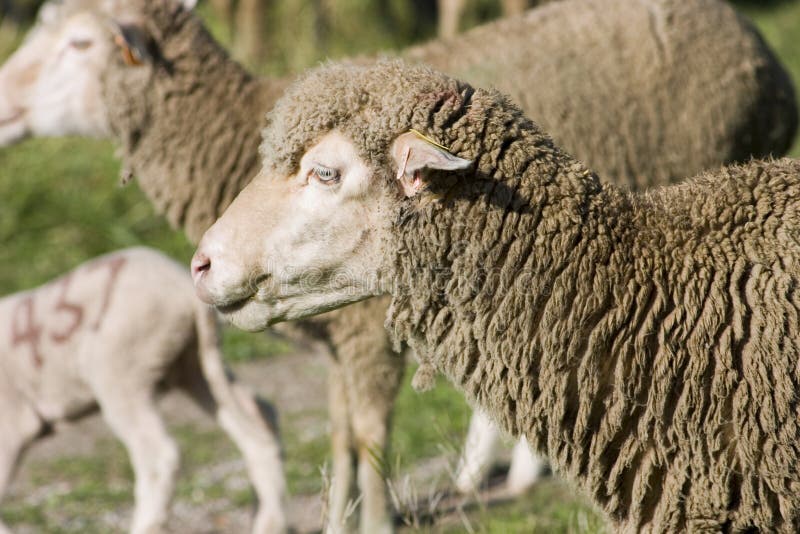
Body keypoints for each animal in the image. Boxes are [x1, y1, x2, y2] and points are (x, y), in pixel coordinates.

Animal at [0, 247, 286, 534]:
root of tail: (182, 286)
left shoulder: (10, 425)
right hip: (193, 364)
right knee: (258, 415)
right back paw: (268, 521)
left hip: (120, 370)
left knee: (158, 455)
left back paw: (147, 524)